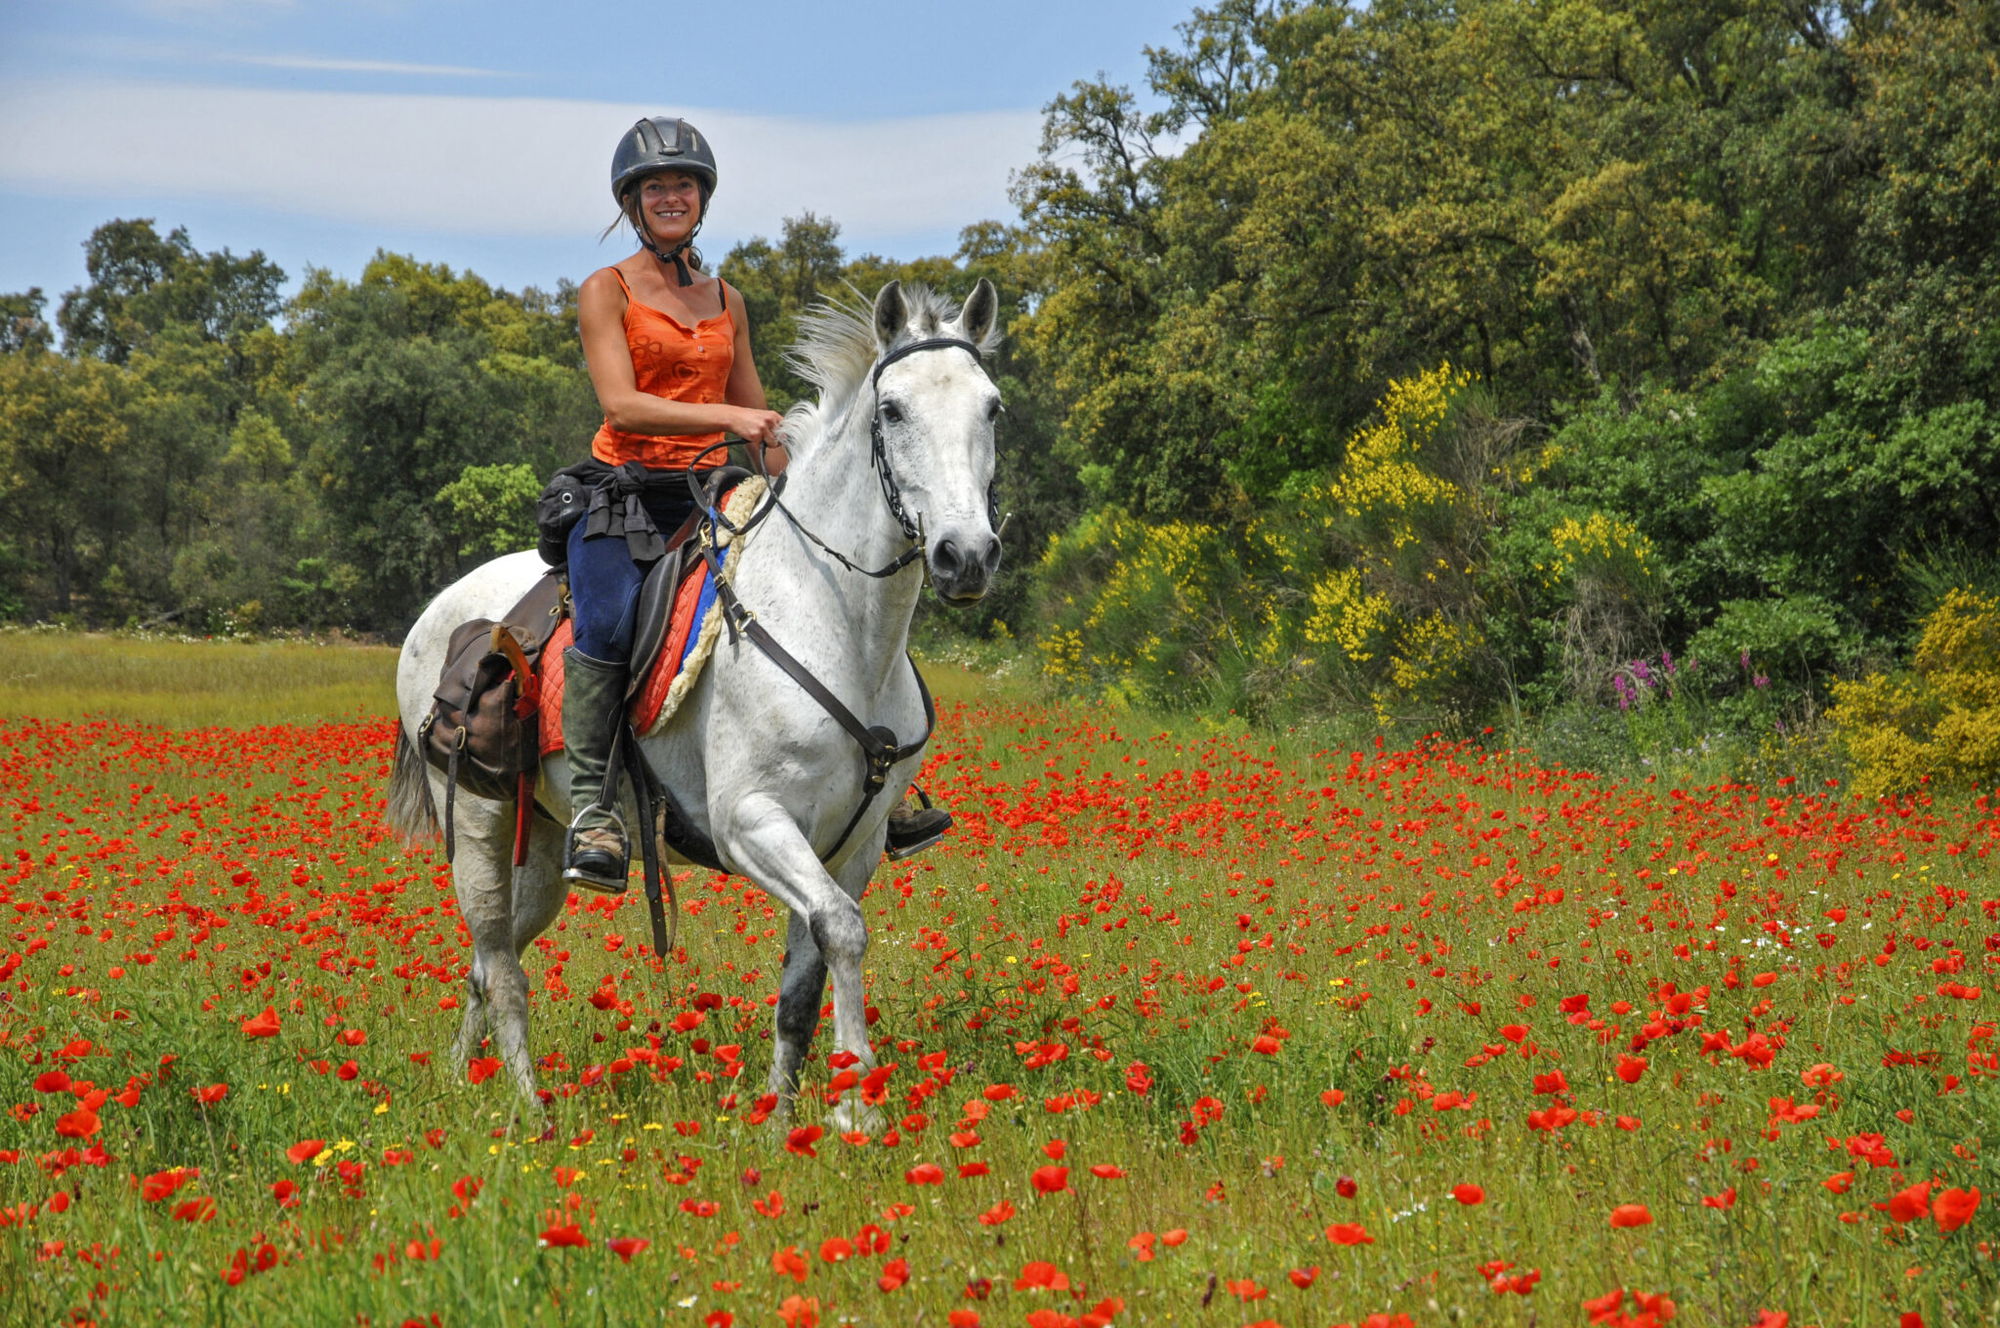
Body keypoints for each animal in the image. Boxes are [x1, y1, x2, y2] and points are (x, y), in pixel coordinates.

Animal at [384, 279, 1002, 1122]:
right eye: (894, 409)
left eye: (992, 407)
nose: (965, 556)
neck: (837, 620)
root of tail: (434, 614)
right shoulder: (751, 822)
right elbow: (844, 933)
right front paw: (857, 1107)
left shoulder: (857, 842)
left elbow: (804, 979)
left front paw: (784, 1119)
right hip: (478, 830)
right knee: (502, 970)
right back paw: (533, 1113)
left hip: (537, 852)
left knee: (489, 960)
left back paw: (463, 1083)